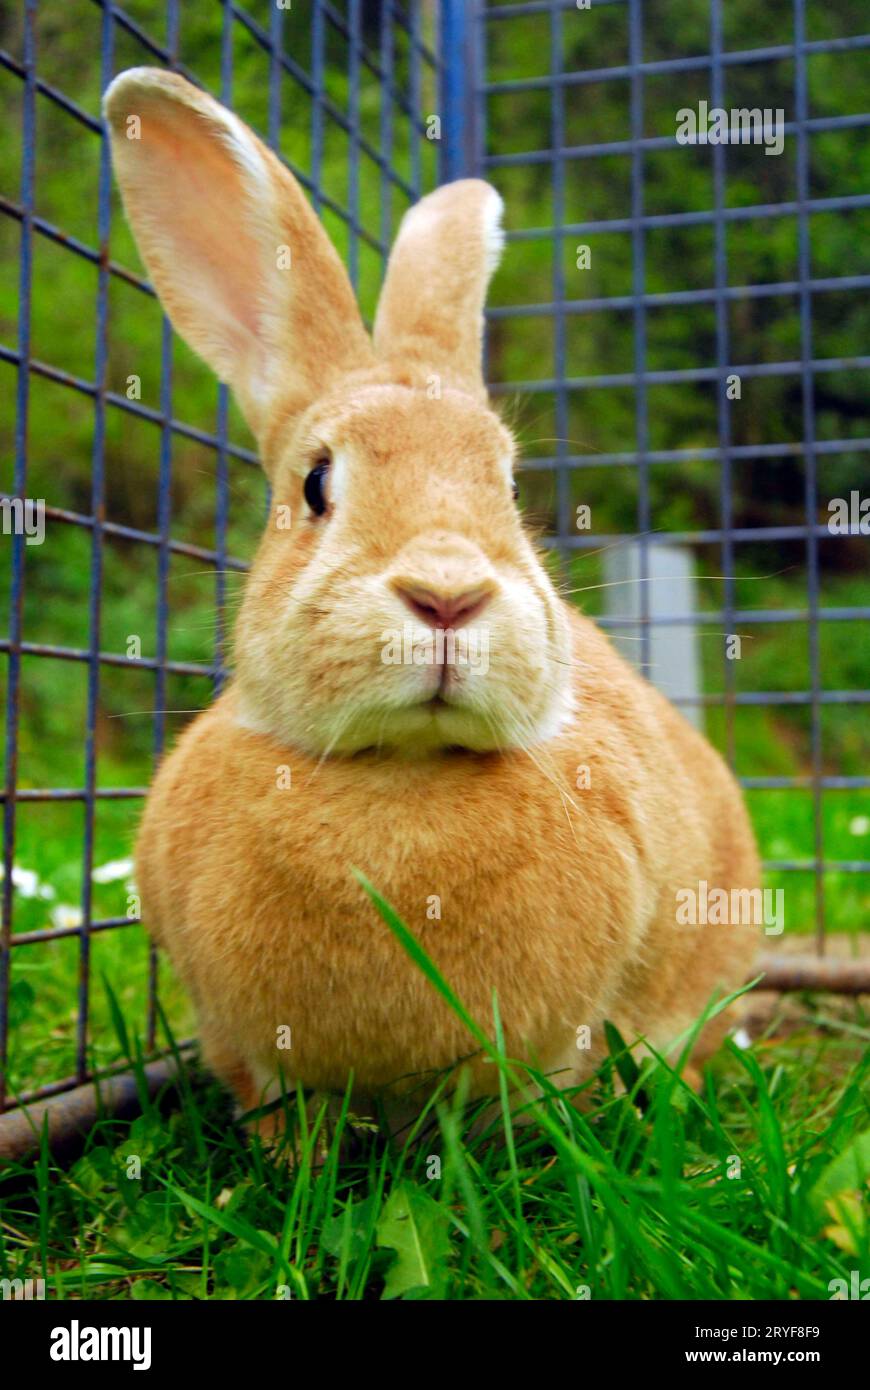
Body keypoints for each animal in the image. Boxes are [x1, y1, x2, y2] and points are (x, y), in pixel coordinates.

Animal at [104, 68, 760, 1134]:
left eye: (508, 486)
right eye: (315, 485)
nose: (448, 595)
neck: (399, 777)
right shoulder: (239, 1046)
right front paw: (289, 1160)